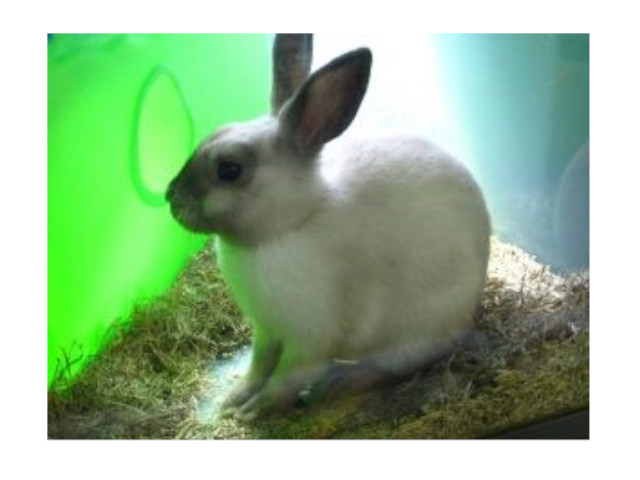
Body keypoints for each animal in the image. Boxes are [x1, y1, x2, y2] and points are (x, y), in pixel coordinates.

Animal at [166, 34, 491, 419]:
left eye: (229, 170)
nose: (170, 196)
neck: (286, 228)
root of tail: (471, 315)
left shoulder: (308, 340)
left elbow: (284, 379)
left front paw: (253, 411)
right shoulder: (266, 331)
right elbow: (258, 367)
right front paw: (232, 401)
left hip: (415, 333)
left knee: (390, 367)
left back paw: (339, 384)